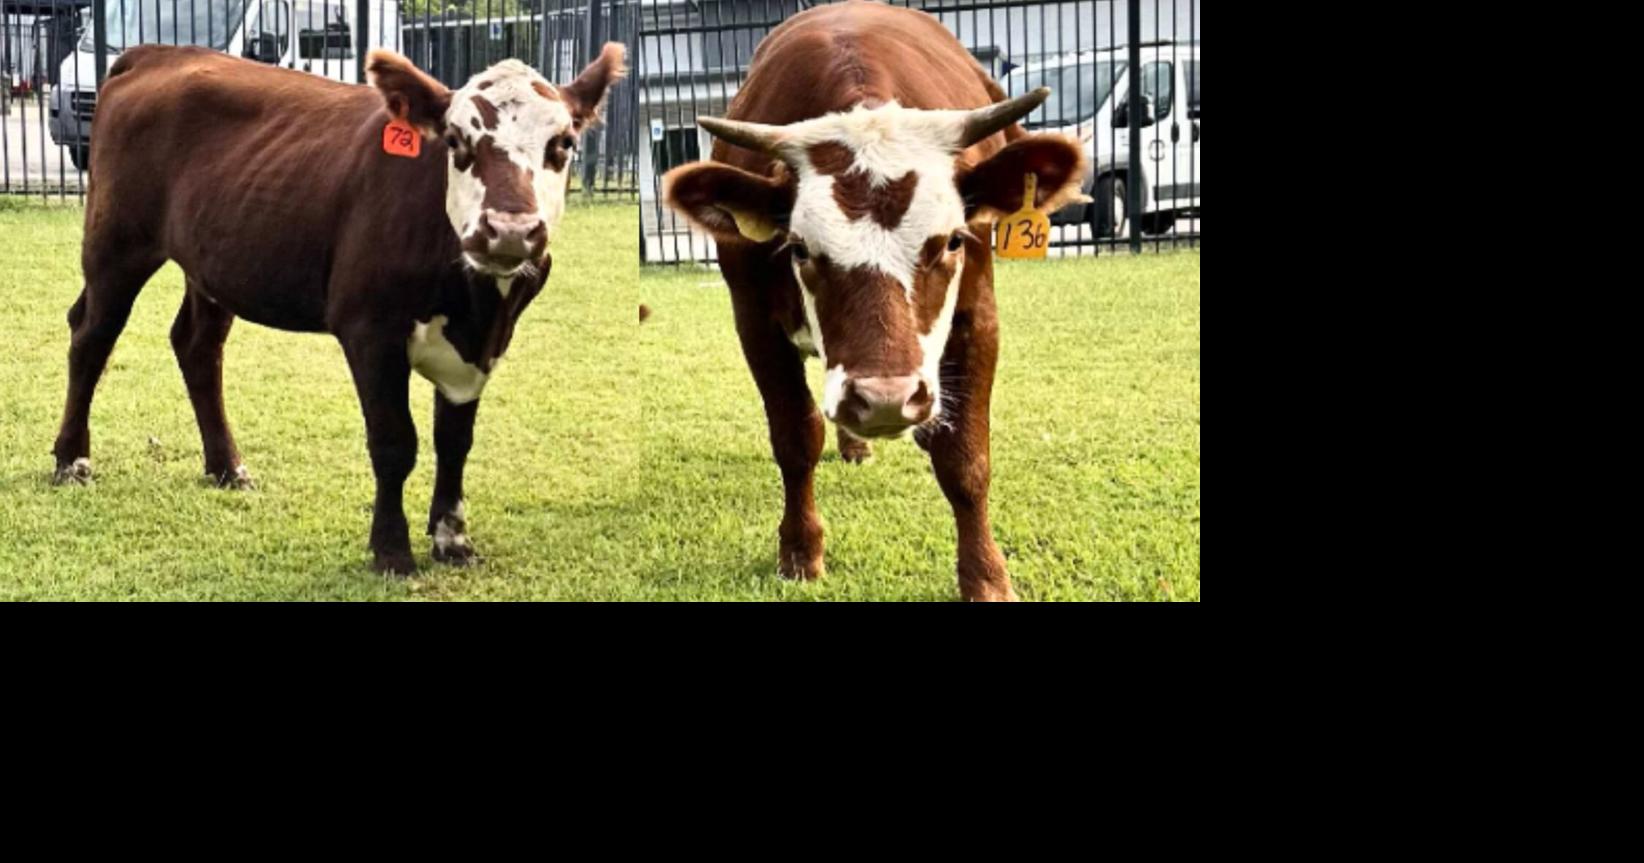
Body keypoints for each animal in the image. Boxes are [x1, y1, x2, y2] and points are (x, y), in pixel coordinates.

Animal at [51, 42, 626, 574]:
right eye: (457, 141)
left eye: (563, 143)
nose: (509, 229)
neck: (477, 305)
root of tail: (157, 53)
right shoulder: (370, 330)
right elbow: (395, 441)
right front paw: (391, 549)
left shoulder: (482, 347)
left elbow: (455, 442)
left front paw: (452, 539)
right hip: (116, 242)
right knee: (91, 334)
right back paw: (71, 460)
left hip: (211, 259)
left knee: (197, 345)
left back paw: (227, 467)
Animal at [662, 2, 1084, 601]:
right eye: (799, 247)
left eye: (952, 241)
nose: (884, 399)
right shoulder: (755, 323)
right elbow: (795, 436)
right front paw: (800, 550)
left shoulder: (977, 319)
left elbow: (965, 457)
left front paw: (985, 576)